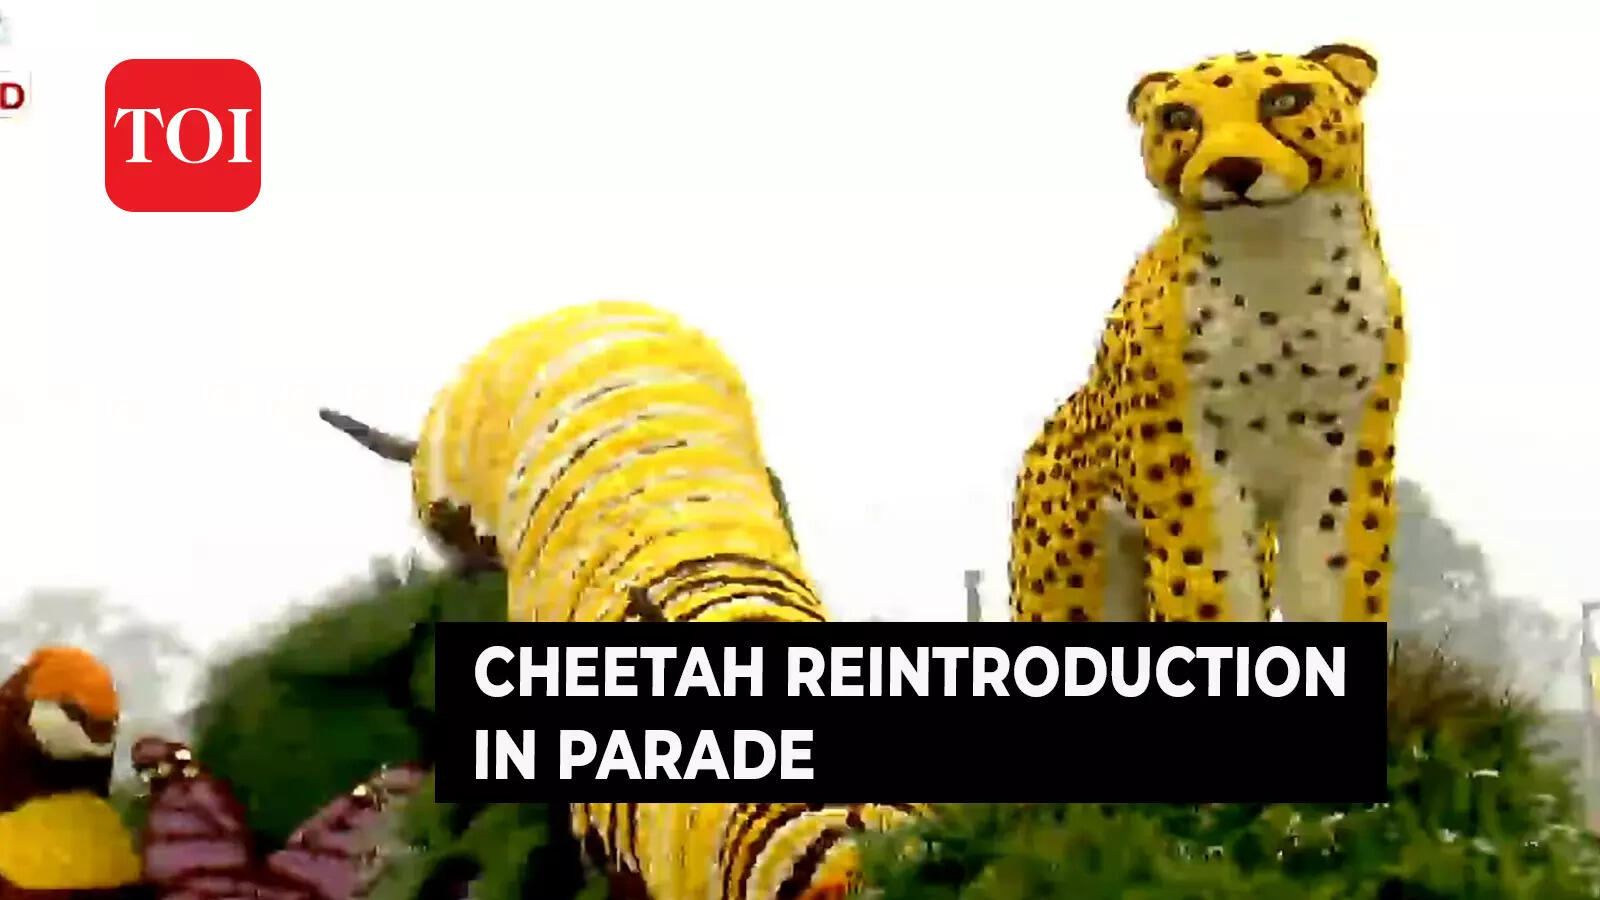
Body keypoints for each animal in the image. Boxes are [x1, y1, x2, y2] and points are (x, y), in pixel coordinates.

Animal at [1009, 42, 1406, 625]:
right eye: (1179, 117)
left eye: (1285, 99)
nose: (1233, 169)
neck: (1276, 264)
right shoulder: (1193, 468)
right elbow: (1211, 585)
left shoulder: (1344, 457)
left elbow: (1335, 579)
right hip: (1069, 574)